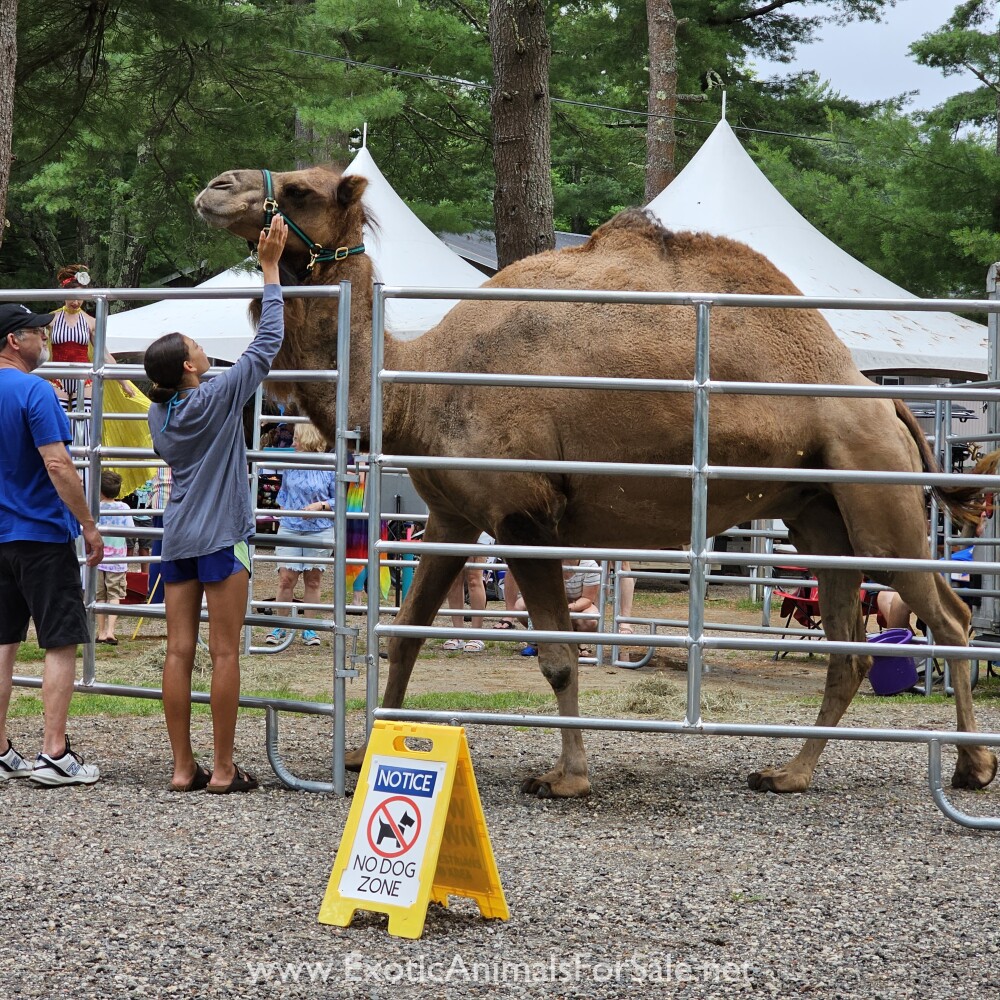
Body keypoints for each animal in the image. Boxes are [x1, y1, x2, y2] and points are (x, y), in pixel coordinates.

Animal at [195, 164, 997, 799]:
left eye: (301, 189)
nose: (215, 188)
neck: (415, 386)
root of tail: (881, 396)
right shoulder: (453, 514)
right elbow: (408, 633)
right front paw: (367, 753)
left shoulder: (523, 518)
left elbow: (556, 655)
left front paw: (567, 778)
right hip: (818, 511)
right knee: (851, 646)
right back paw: (788, 773)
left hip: (878, 492)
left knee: (951, 618)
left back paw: (970, 769)